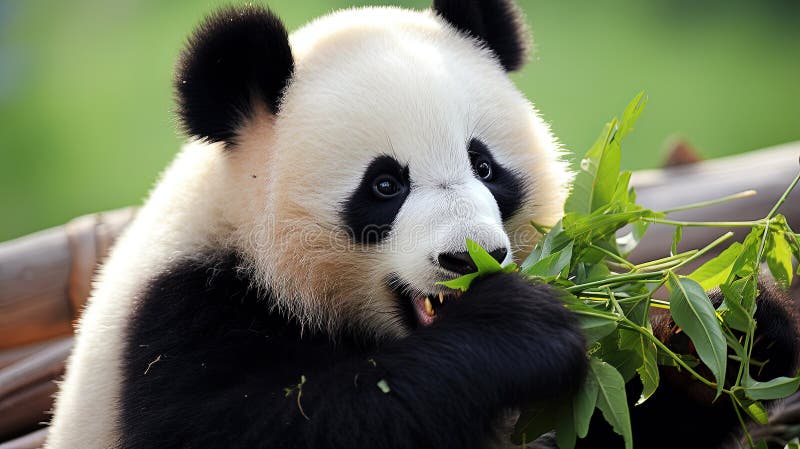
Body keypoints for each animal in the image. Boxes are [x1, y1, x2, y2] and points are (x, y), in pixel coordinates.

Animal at [45, 1, 799, 448]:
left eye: (485, 166)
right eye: (385, 185)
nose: (471, 258)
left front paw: (733, 328)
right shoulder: (183, 314)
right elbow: (249, 425)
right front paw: (515, 328)